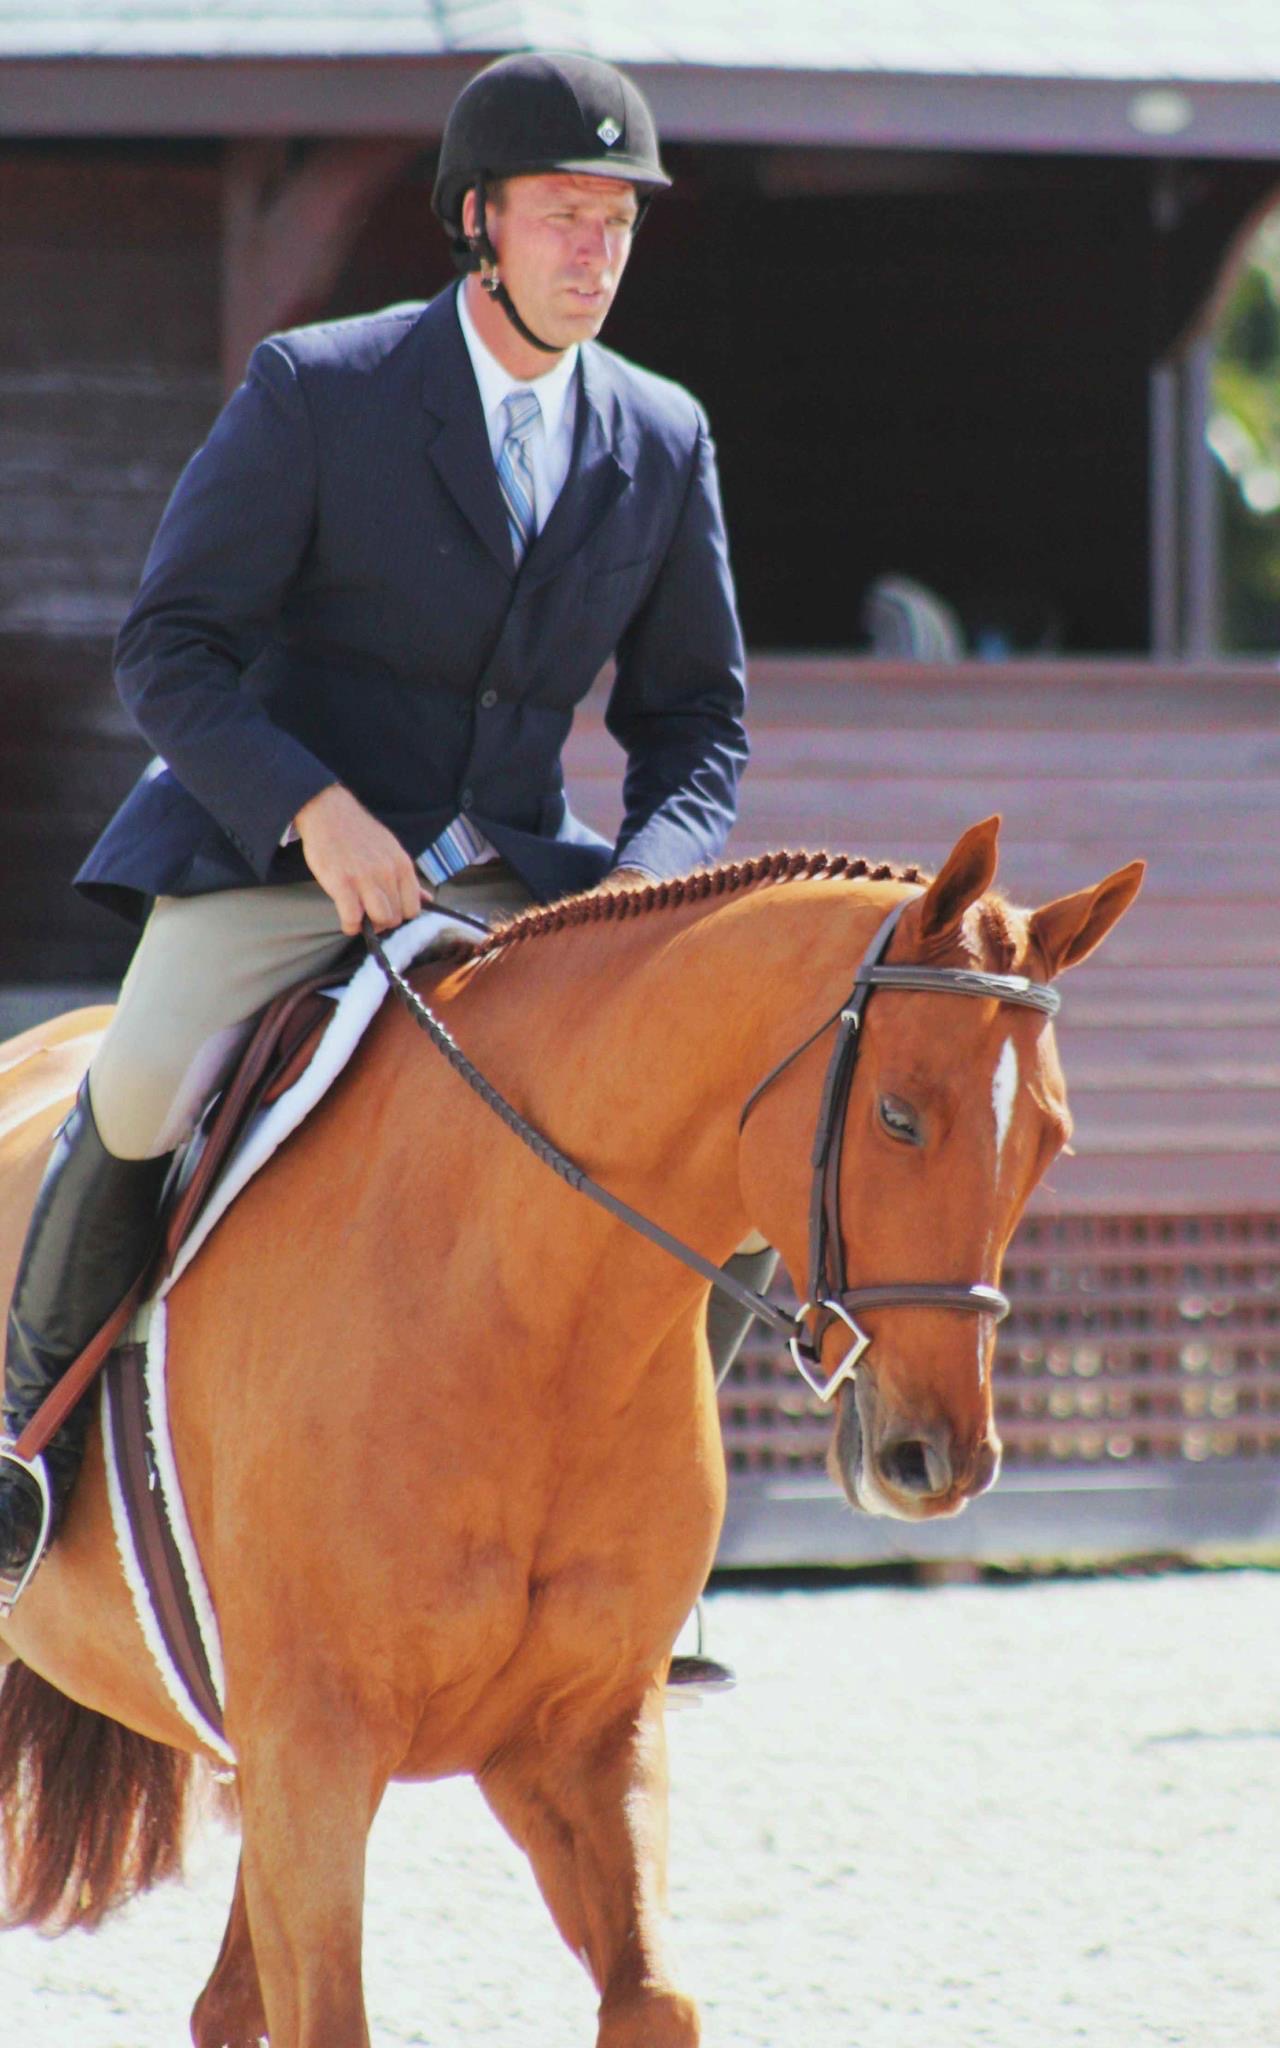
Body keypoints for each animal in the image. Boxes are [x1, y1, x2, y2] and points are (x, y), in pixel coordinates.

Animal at [0, 816, 1142, 2048]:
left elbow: (653, 1996)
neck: (524, 1309)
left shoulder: (578, 1737)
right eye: (897, 1115)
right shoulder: (314, 1745)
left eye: (1051, 1140)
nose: (937, 1458)